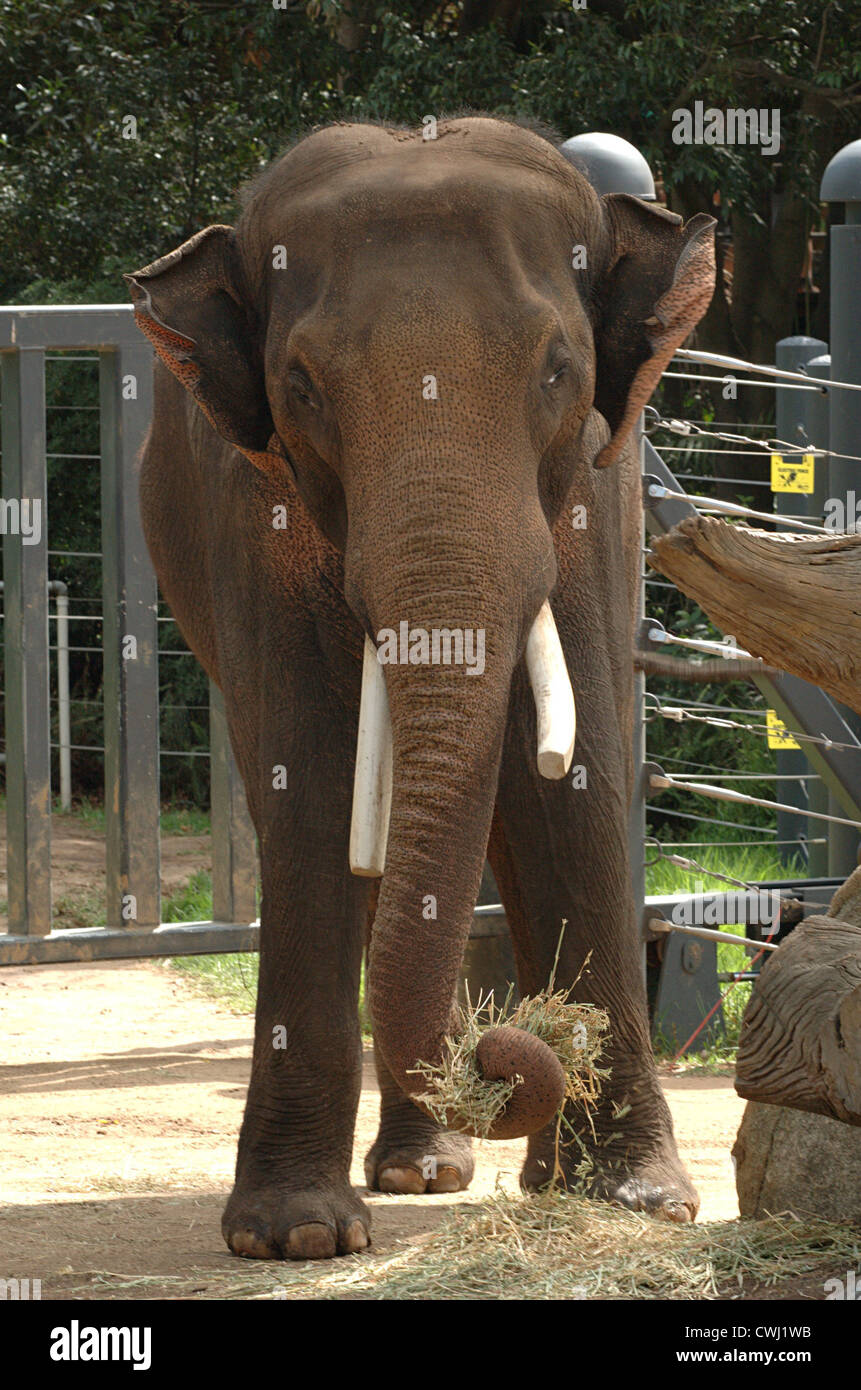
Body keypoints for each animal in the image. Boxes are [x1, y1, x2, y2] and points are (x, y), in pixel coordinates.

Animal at [127, 116, 716, 1260]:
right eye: (303, 384)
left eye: (559, 369)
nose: (501, 1053)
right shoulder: (253, 507)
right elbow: (309, 781)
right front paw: (295, 1236)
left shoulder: (596, 494)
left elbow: (575, 777)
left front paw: (638, 1202)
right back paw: (420, 1168)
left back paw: (447, 1165)